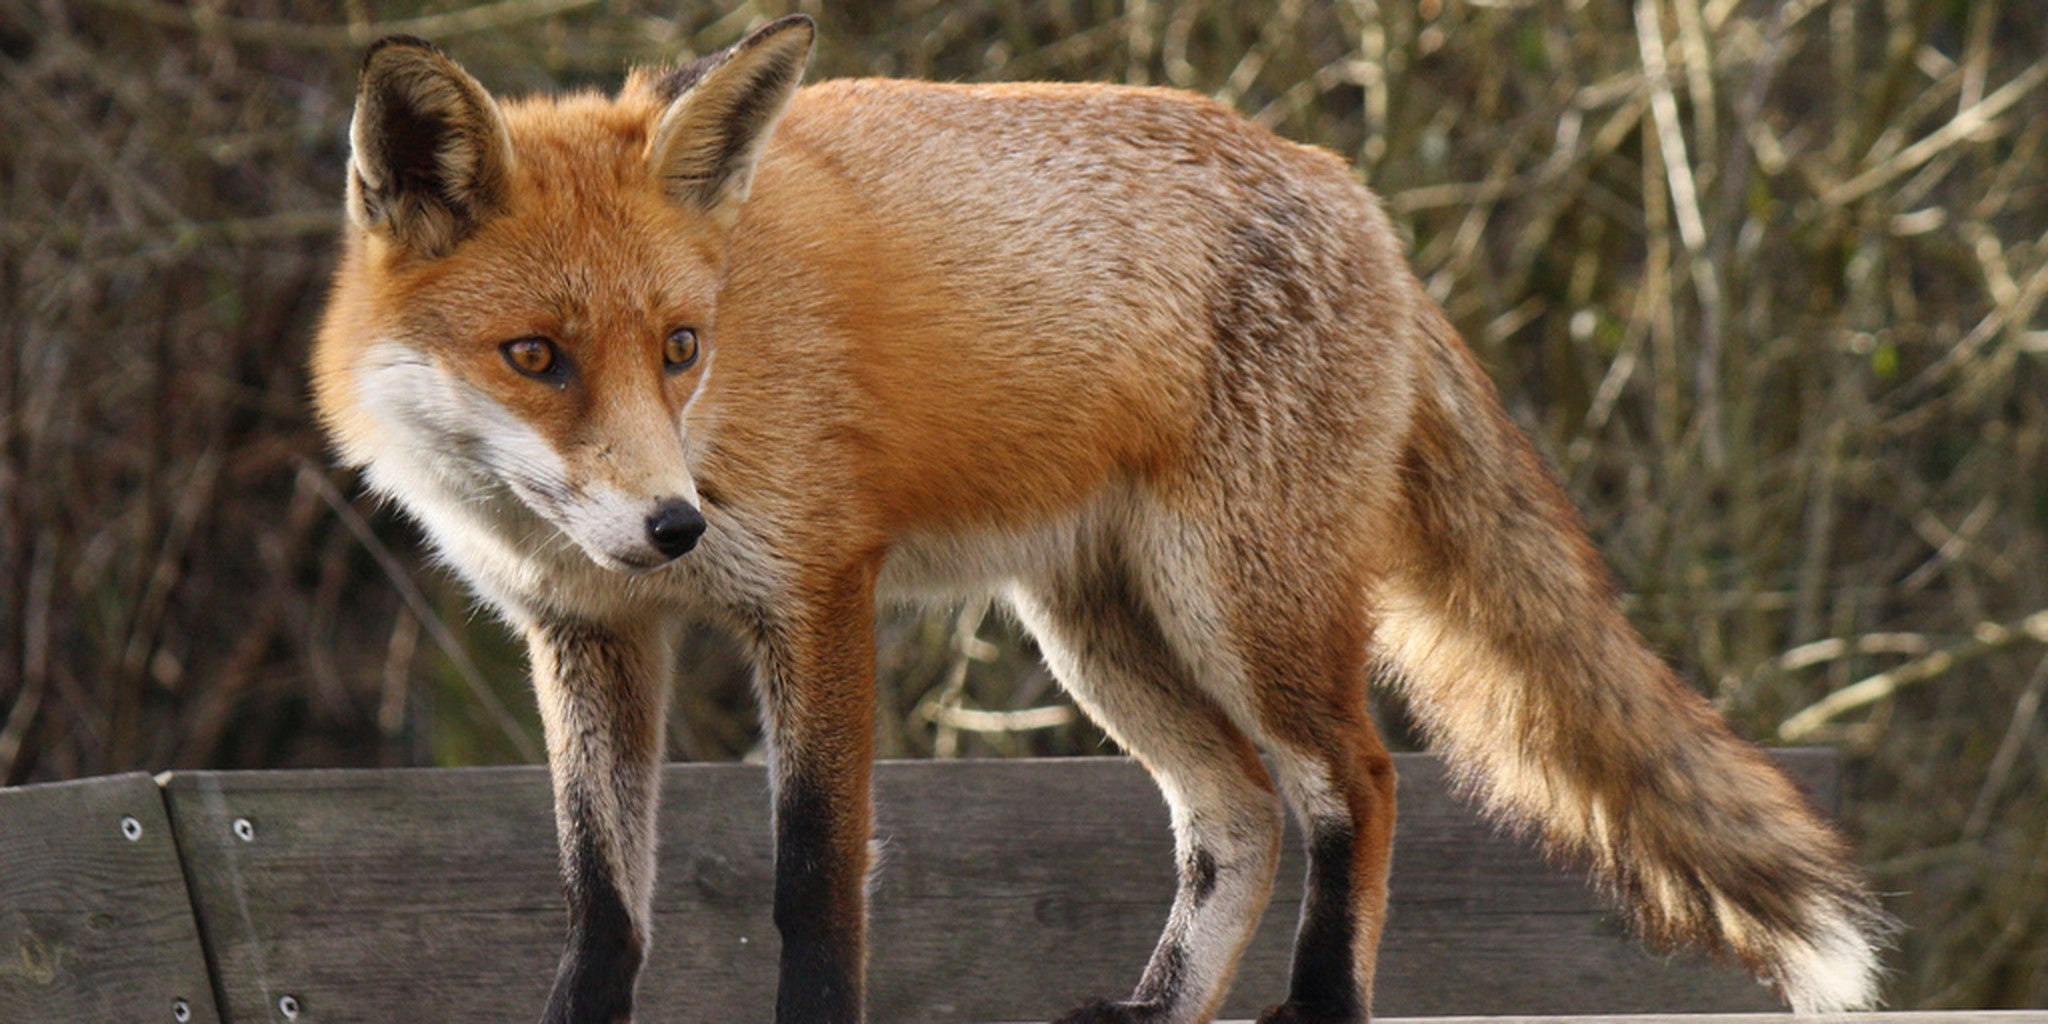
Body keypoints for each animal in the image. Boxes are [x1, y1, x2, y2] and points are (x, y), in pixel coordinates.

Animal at [311, 13, 1891, 1024]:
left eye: (681, 347)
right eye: (536, 356)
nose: (672, 530)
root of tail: (1359, 199)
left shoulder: (814, 591)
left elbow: (814, 885)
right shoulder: (586, 632)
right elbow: (602, 902)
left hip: (1238, 604)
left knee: (1357, 785)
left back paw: (1317, 1010)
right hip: (1098, 629)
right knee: (1236, 815)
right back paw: (1156, 1010)